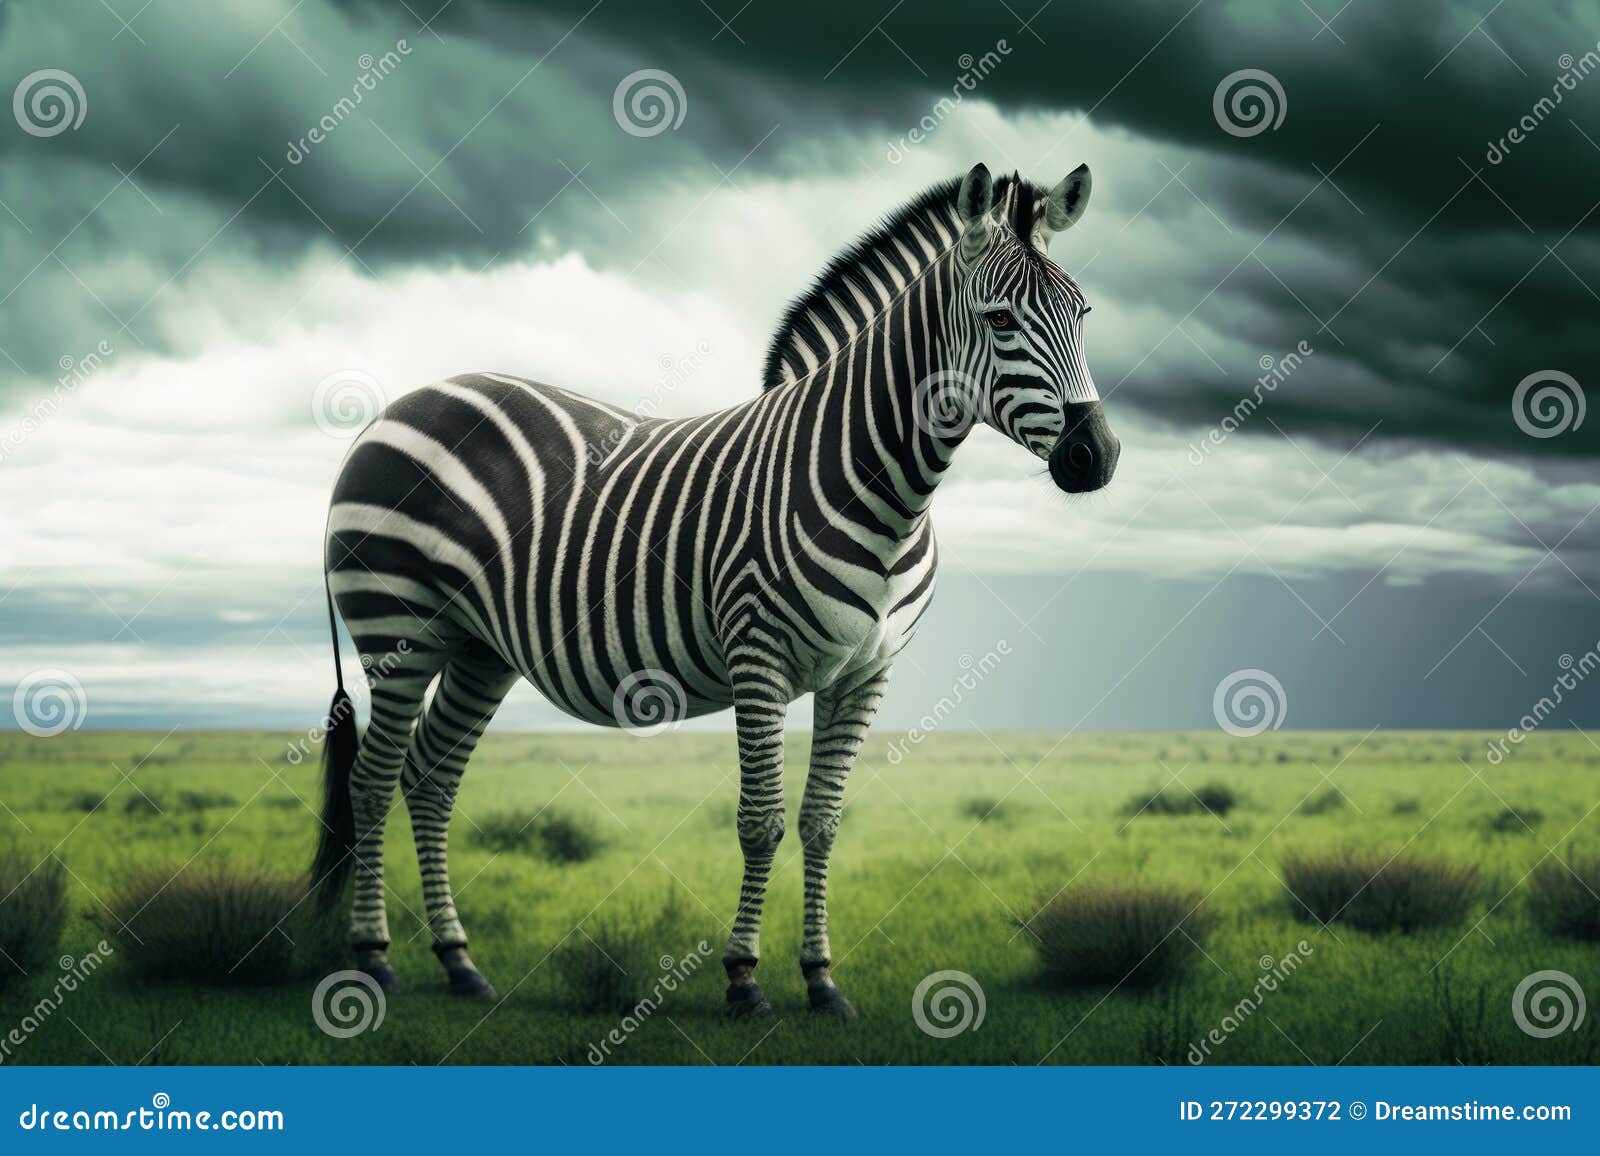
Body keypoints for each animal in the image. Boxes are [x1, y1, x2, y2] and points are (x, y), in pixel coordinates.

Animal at [310, 162, 1119, 1018]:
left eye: (1083, 314)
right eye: (1000, 321)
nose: (1096, 456)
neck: (883, 485)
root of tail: (401, 405)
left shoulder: (868, 671)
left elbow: (823, 821)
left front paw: (821, 980)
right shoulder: (758, 654)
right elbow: (761, 821)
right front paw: (743, 979)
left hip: (478, 647)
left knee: (430, 779)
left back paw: (459, 962)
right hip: (396, 625)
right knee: (371, 781)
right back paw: (373, 958)